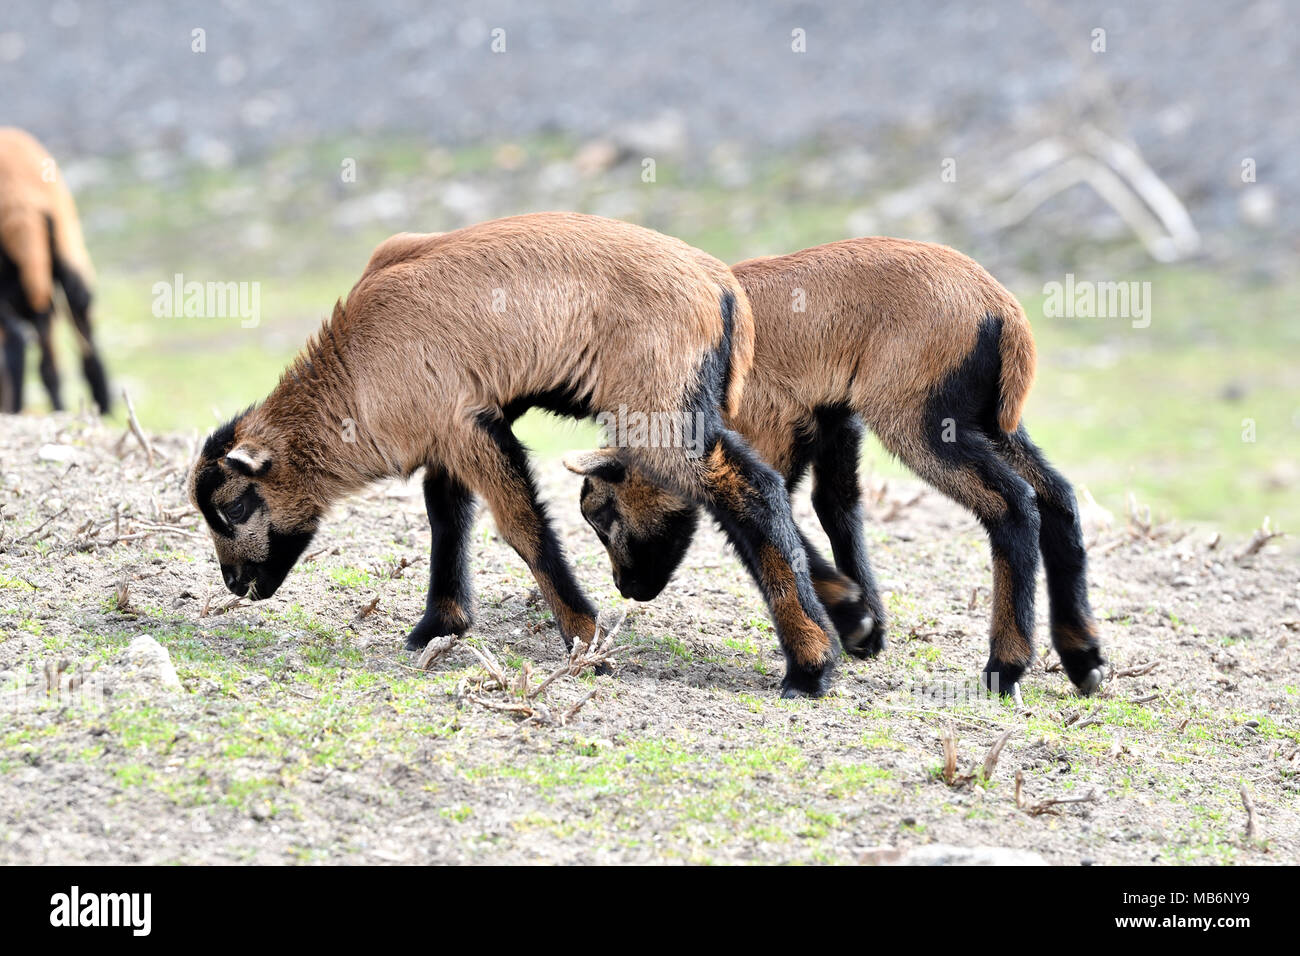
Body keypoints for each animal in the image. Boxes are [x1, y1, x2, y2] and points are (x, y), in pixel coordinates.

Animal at [189, 213, 842, 697]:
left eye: (234, 508)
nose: (236, 583)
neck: (355, 376)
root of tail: (723, 290)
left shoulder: (468, 425)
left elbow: (522, 526)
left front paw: (584, 642)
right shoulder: (447, 439)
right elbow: (446, 520)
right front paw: (438, 627)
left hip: (659, 415)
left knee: (750, 490)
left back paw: (811, 667)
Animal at [565, 237, 1107, 698]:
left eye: (604, 514)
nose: (627, 588)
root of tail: (1001, 311)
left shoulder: (767, 433)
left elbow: (757, 519)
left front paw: (848, 619)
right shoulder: (832, 420)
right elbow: (836, 507)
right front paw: (866, 624)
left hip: (922, 417)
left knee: (1013, 504)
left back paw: (1004, 668)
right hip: (990, 419)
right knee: (1057, 496)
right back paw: (1084, 659)